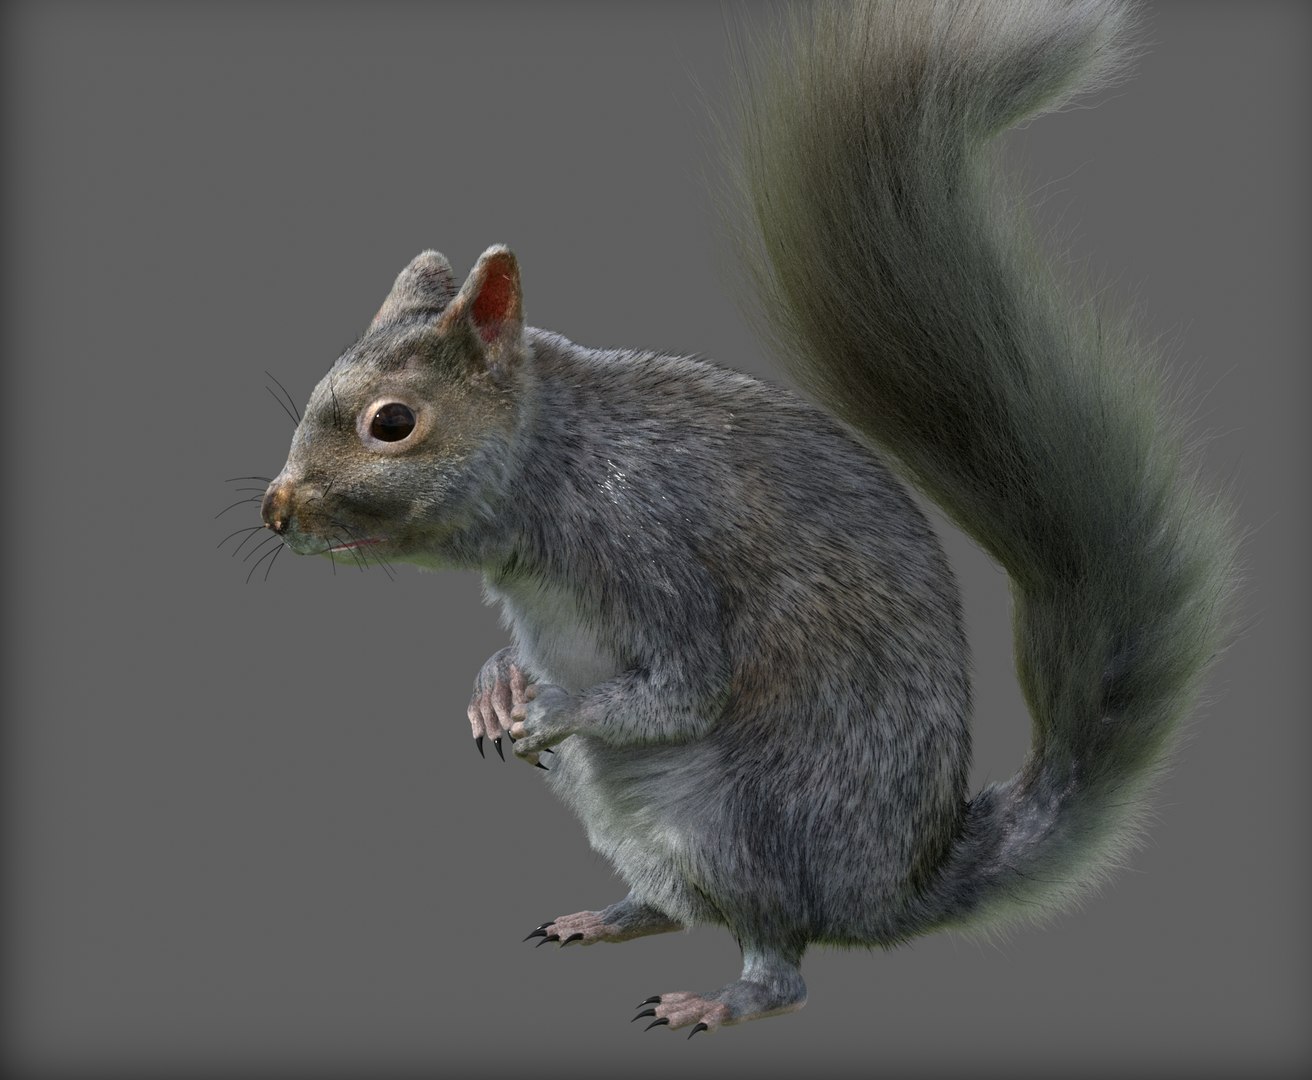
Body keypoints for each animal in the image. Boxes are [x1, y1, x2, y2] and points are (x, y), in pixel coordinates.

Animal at [257, 0, 1234, 1036]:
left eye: (392, 423)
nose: (276, 511)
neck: (560, 463)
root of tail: (894, 891)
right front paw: (495, 685)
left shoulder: (654, 544)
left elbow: (687, 686)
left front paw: (553, 705)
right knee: (675, 904)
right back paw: (608, 915)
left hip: (745, 822)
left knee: (779, 956)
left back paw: (724, 1000)